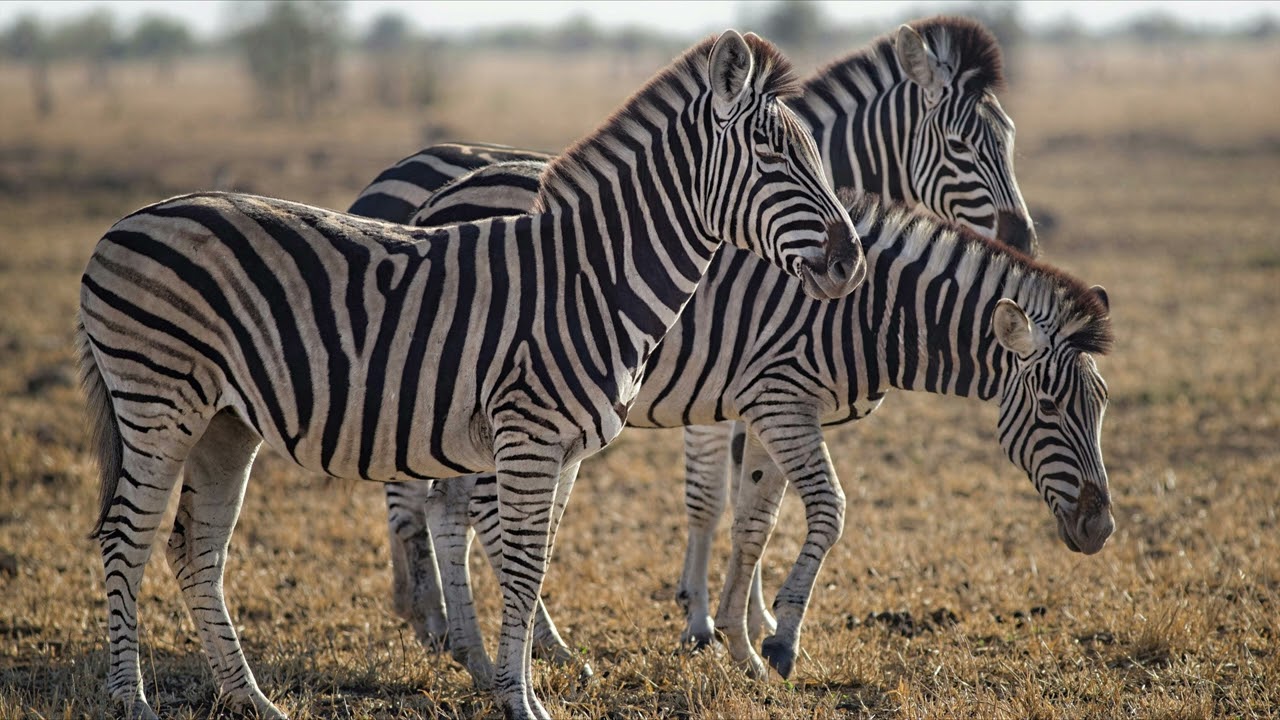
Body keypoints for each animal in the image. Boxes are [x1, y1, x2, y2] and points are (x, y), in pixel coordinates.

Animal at [76, 31, 864, 720]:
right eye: (770, 154)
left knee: (195, 548)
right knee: (126, 537)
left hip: (224, 422)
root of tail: (123, 224)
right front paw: (521, 700)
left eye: (816, 156)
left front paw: (517, 680)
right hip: (158, 402)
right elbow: (519, 565)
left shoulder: (561, 449)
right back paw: (131, 699)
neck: (593, 278)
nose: (850, 263)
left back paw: (250, 700)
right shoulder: (529, 434)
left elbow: (535, 560)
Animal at [357, 15, 1040, 663]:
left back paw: (437, 619)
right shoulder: (727, 383)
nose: (1025, 241)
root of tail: (423, 191)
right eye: (959, 146)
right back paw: (450, 621)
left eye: (1011, 139)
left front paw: (749, 618)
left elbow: (750, 500)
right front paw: (707, 623)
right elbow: (713, 500)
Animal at [397, 175, 1113, 685]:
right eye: (1050, 407)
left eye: (1101, 407)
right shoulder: (780, 398)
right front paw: (781, 639)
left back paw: (489, 652)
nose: (1102, 530)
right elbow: (829, 510)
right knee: (475, 515)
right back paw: (517, 652)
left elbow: (754, 524)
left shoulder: (772, 410)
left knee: (450, 507)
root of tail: (436, 200)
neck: (868, 311)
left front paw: (738, 644)